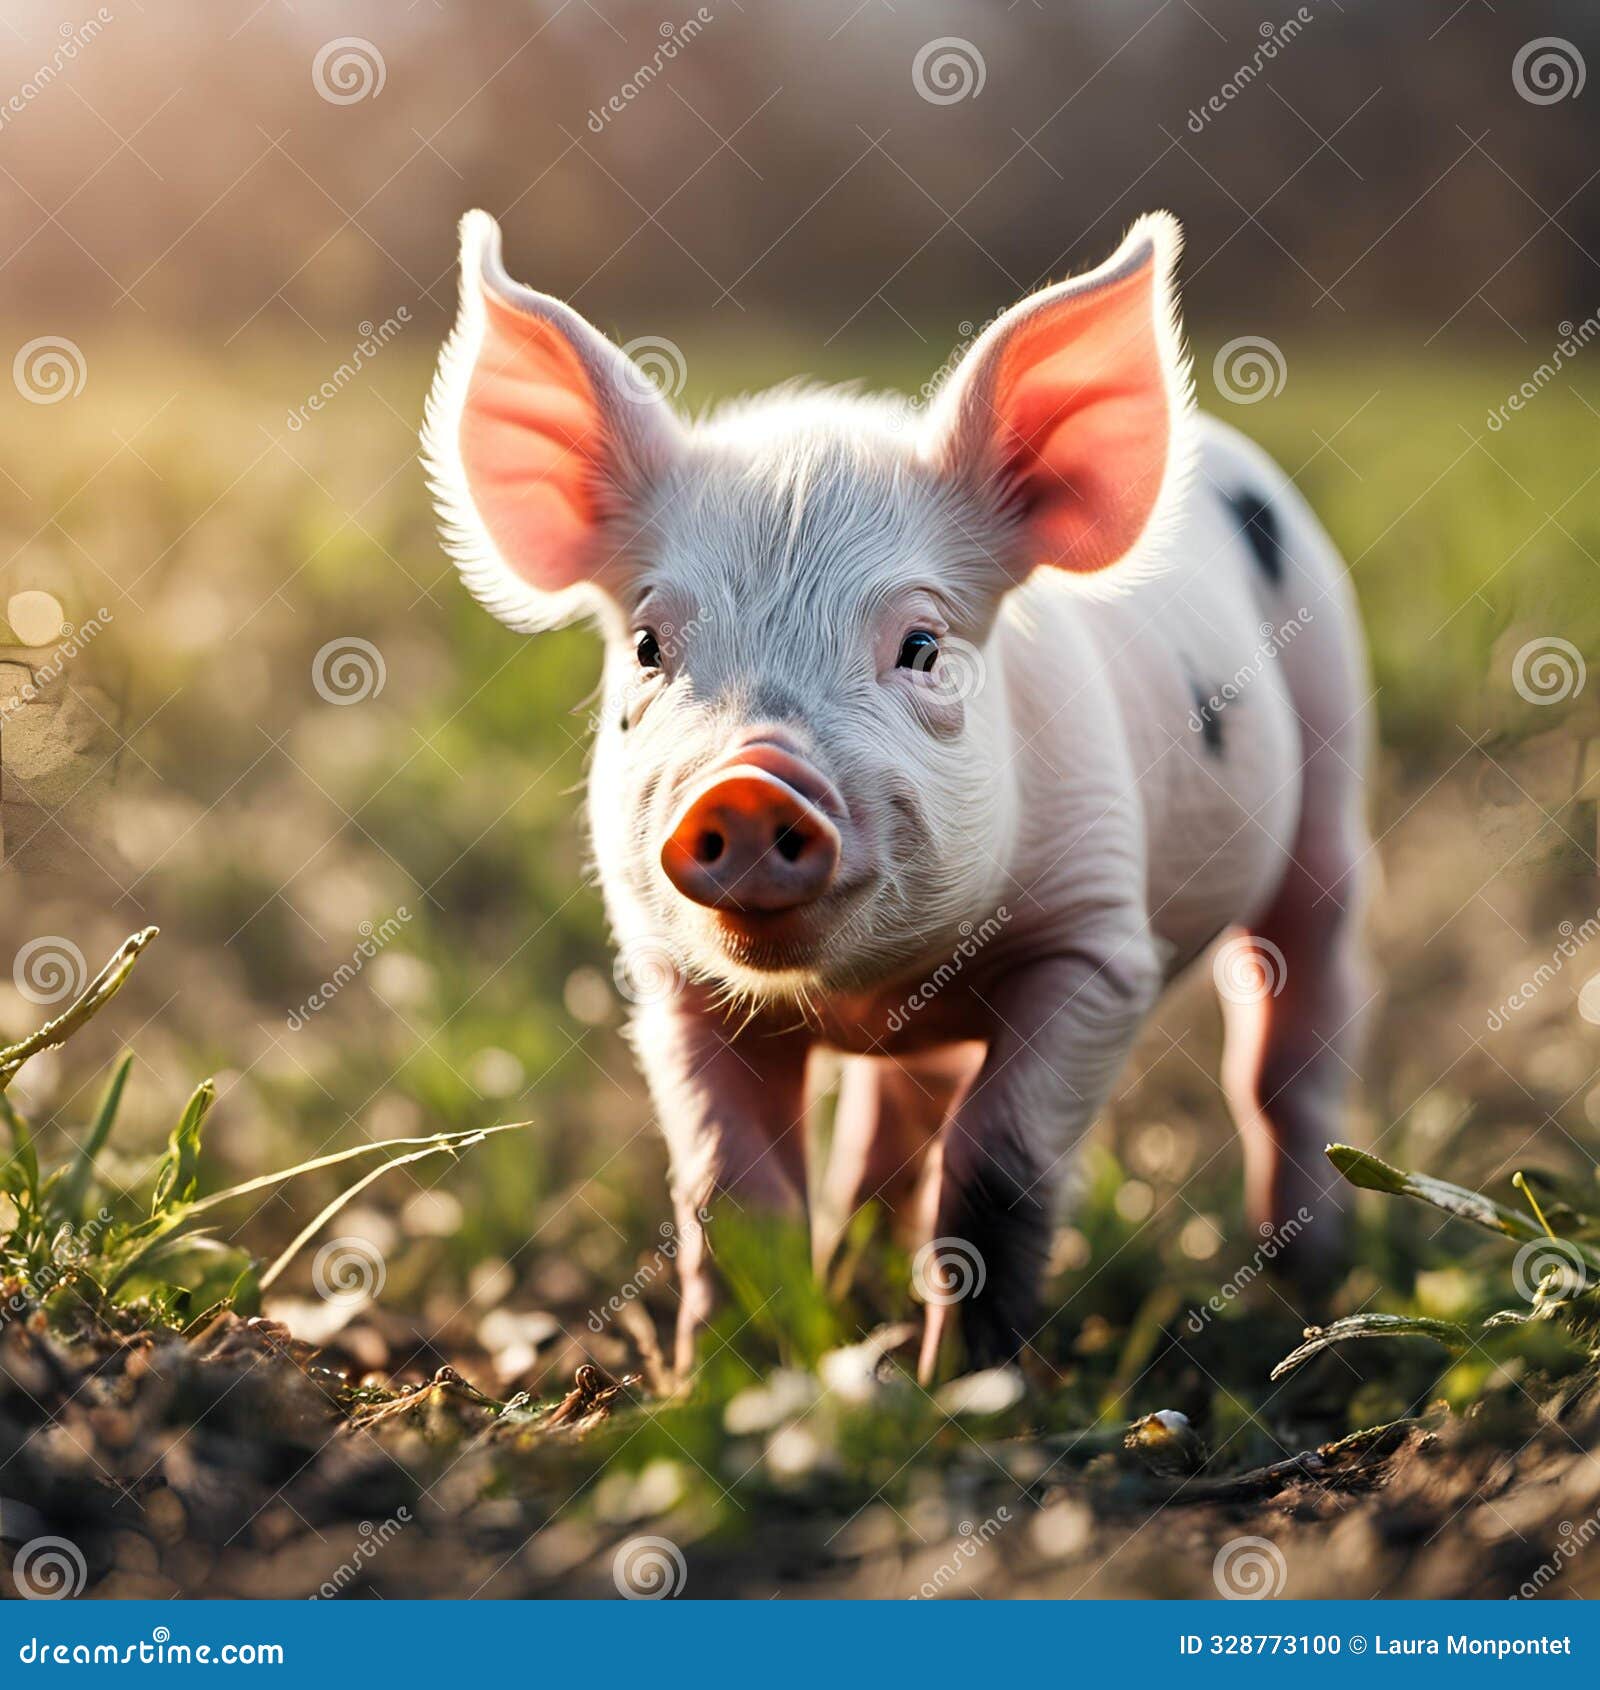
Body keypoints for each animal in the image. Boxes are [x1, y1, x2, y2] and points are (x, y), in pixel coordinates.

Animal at [423, 208, 1372, 1381]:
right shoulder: (671, 982)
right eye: (647, 645)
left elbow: (995, 1164)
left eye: (921, 645)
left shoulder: (1097, 946)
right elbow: (732, 1188)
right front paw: (718, 1384)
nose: (750, 784)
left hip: (1331, 755)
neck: (861, 986)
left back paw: (1309, 1277)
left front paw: (966, 1390)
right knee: (890, 1115)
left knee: (1295, 1012)